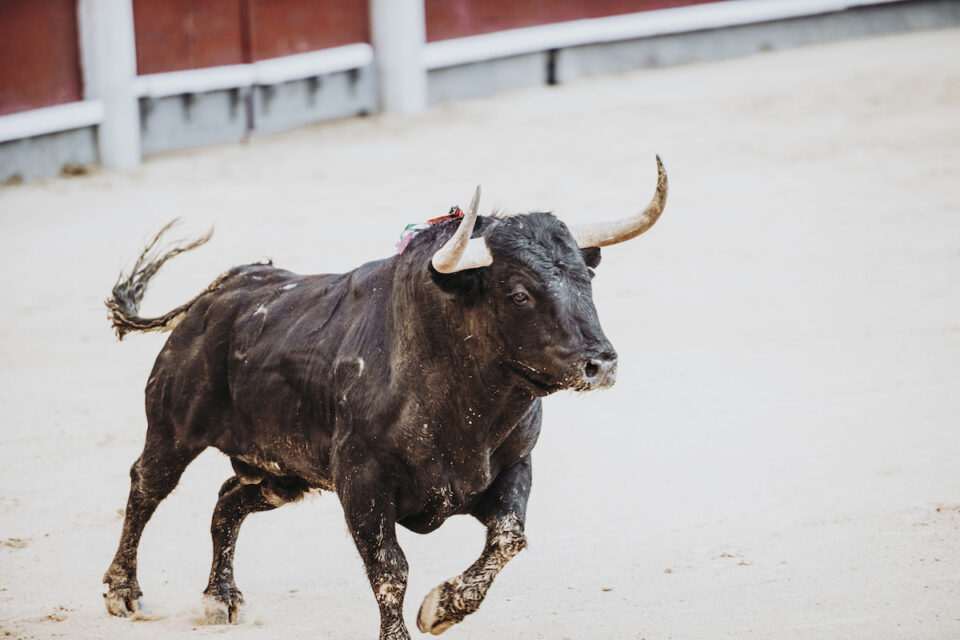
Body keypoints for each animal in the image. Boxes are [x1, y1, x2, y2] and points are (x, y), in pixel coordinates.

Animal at [102, 158, 668, 639]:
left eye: (586, 278)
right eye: (520, 293)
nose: (601, 363)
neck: (463, 408)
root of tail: (216, 293)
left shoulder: (513, 464)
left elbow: (510, 536)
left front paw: (442, 609)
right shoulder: (362, 483)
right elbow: (390, 569)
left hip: (281, 473)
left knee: (227, 500)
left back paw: (220, 598)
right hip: (172, 431)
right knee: (145, 487)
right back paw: (123, 592)